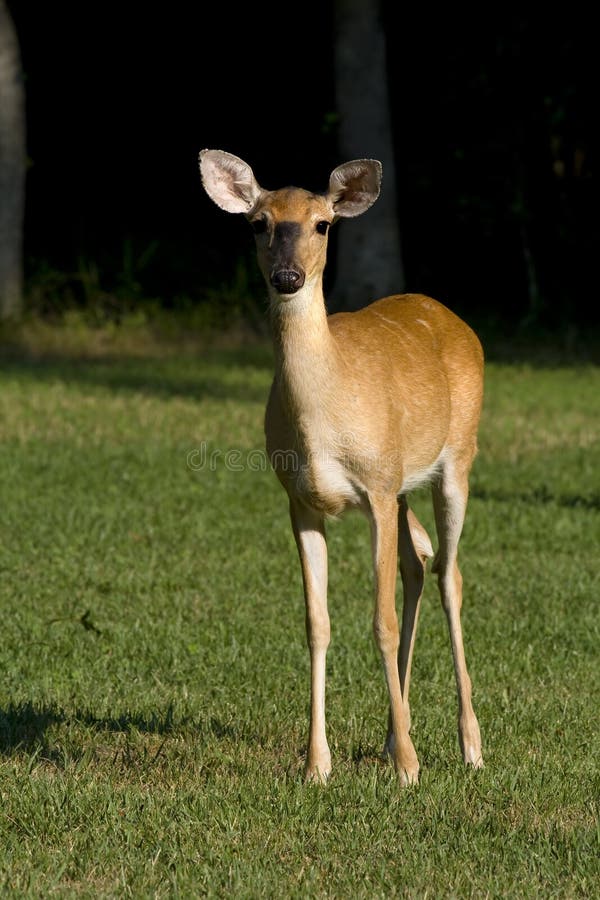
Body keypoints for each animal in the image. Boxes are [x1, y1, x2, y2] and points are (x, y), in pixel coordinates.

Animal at [198, 149, 484, 786]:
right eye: (257, 223)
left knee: (449, 574)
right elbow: (317, 624)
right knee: (417, 561)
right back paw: (392, 733)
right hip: (402, 482)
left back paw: (469, 745)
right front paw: (316, 764)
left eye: (323, 224)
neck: (322, 416)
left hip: (457, 457)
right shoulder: (301, 500)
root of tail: (450, 314)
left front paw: (408, 768)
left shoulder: (374, 489)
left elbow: (379, 621)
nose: (287, 277)